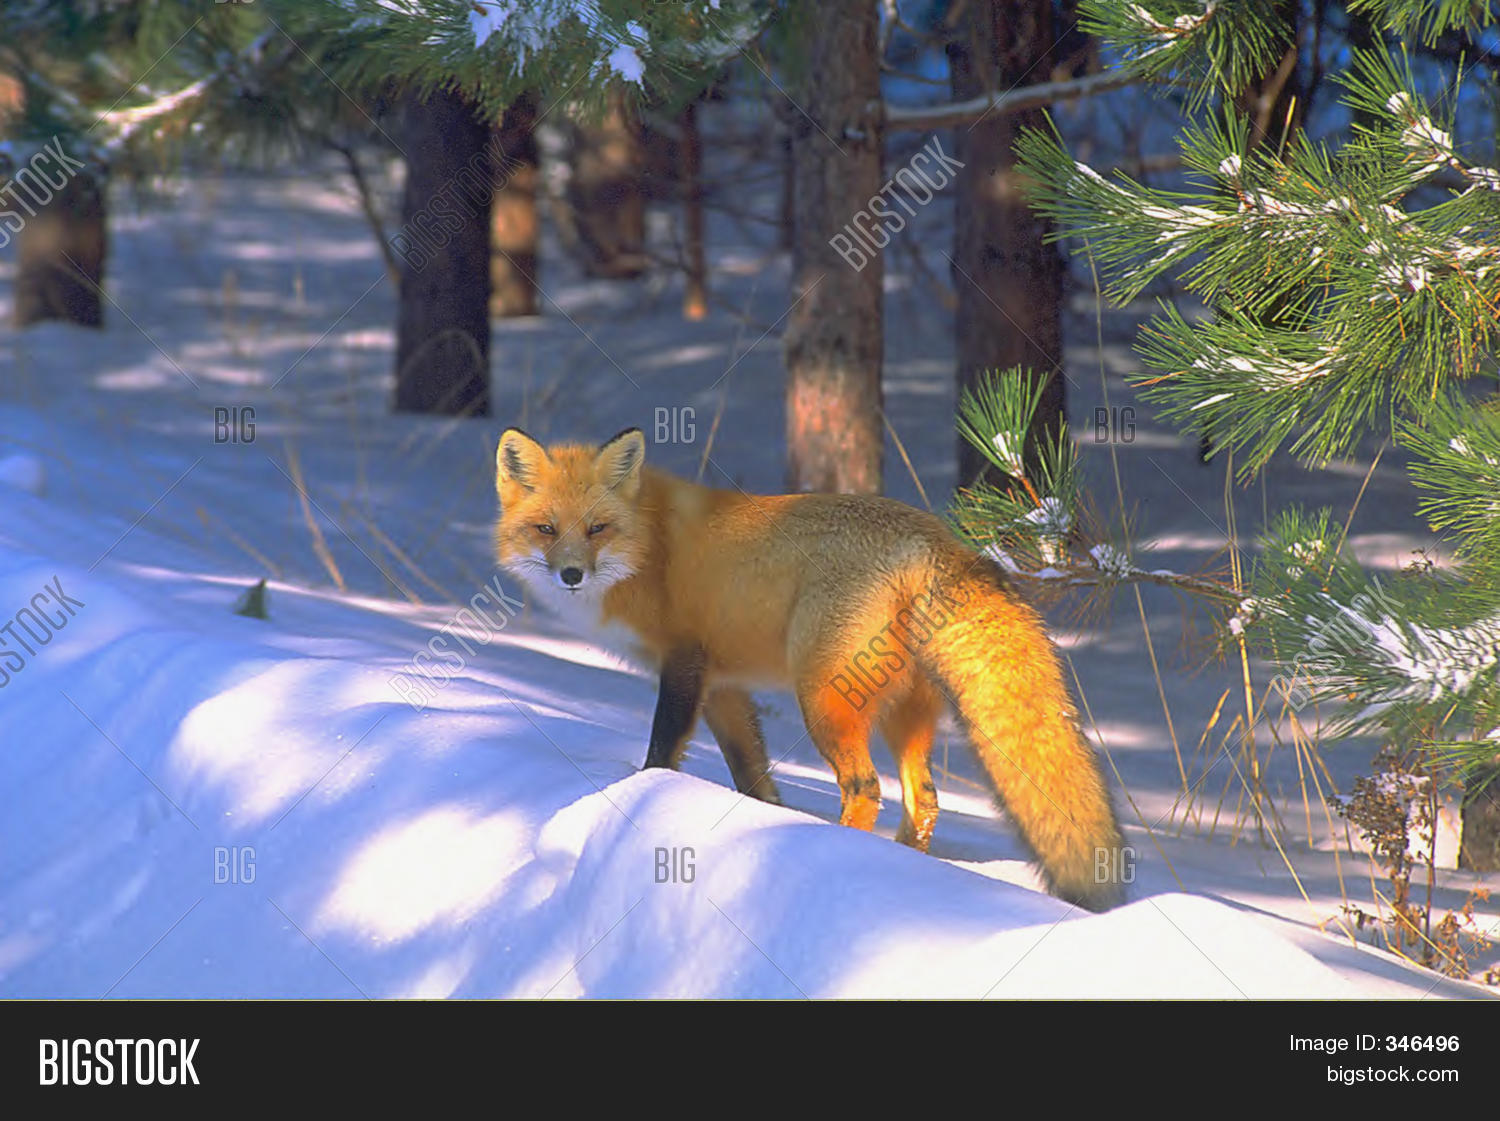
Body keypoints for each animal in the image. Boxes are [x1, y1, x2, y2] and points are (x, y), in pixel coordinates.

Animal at [493, 426, 1127, 910]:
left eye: (597, 528)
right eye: (546, 529)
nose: (570, 574)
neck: (650, 545)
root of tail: (935, 539)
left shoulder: (683, 664)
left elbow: (660, 754)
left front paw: (648, 795)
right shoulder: (723, 687)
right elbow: (754, 778)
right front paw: (761, 822)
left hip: (823, 697)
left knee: (865, 787)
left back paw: (839, 855)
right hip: (904, 711)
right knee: (925, 799)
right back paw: (903, 868)